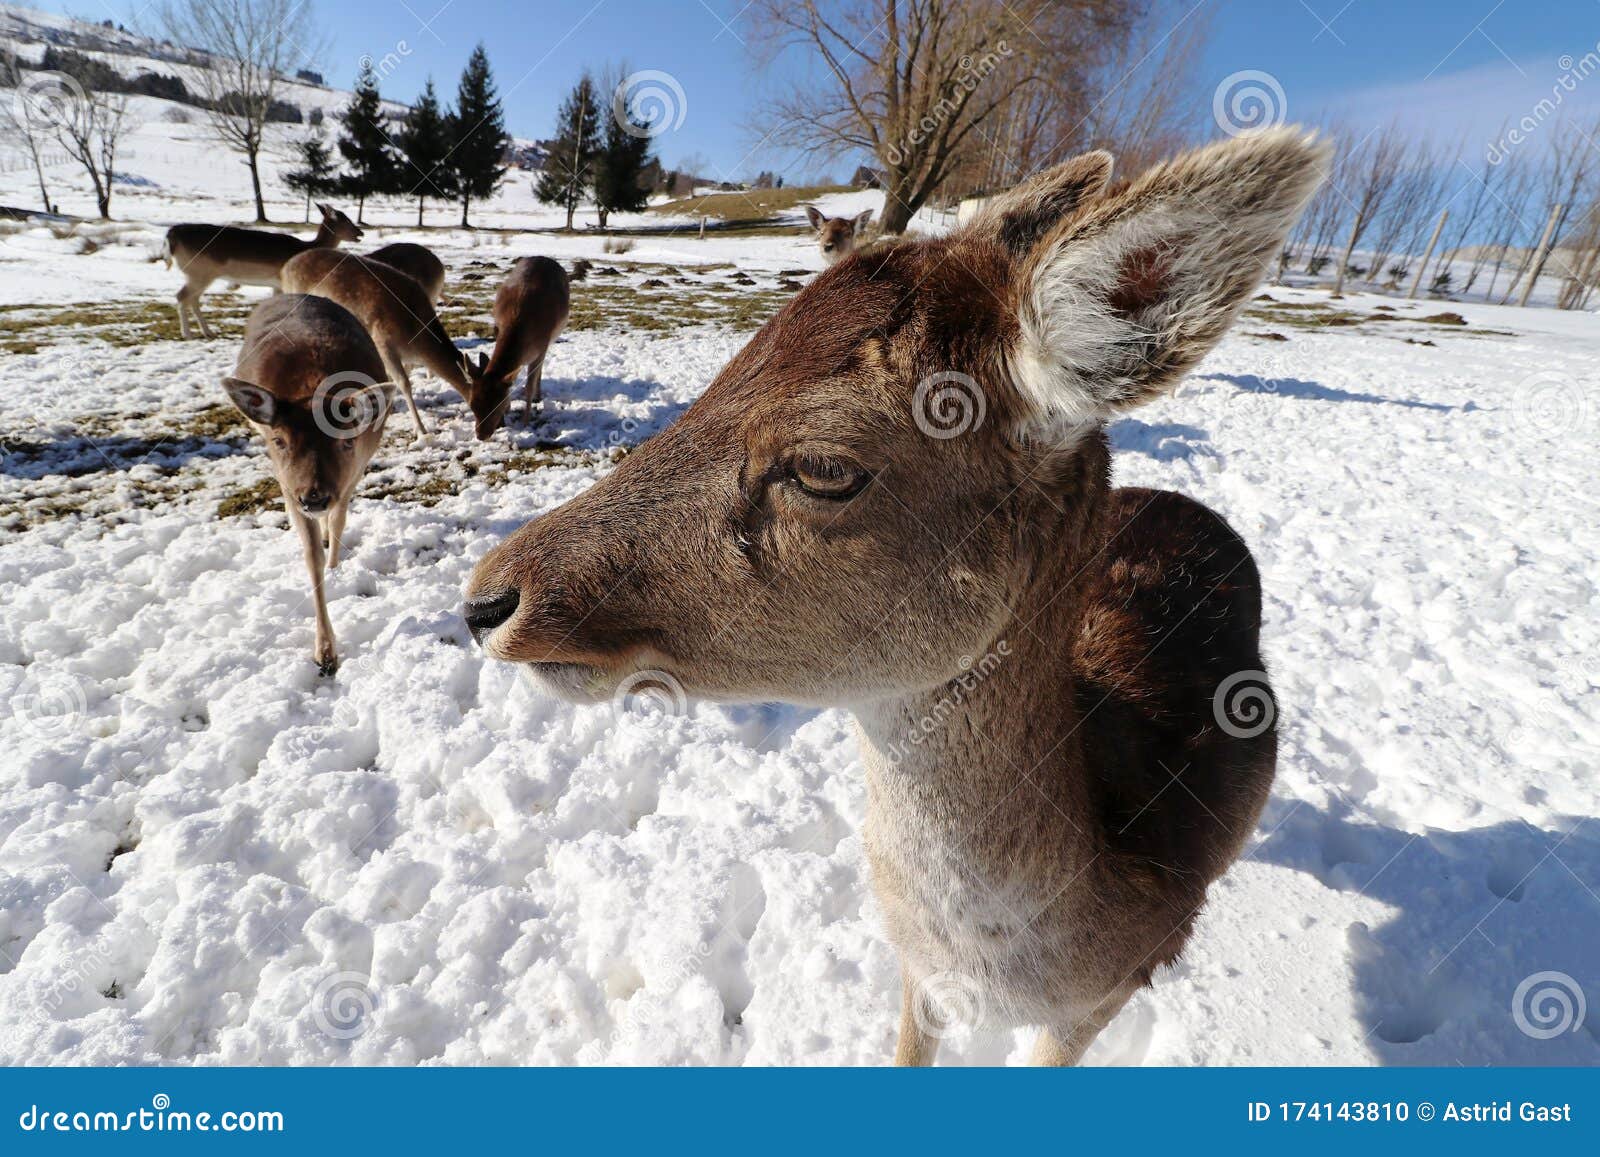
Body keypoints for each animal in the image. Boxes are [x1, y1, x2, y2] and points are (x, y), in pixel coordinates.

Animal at [162, 202, 363, 340]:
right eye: (345, 219)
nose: (360, 233)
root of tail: (171, 235)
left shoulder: (277, 284)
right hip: (199, 272)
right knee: (182, 296)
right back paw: (187, 334)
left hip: (199, 275)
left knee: (193, 299)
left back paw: (208, 332)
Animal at [221, 294, 395, 676]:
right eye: (279, 440)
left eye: (347, 441)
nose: (314, 497)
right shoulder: (287, 485)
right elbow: (310, 555)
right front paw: (326, 654)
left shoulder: (357, 466)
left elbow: (341, 517)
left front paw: (334, 563)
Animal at [280, 248, 490, 441]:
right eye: (480, 400)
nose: (485, 433)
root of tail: (285, 268)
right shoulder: (383, 342)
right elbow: (404, 383)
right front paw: (421, 430)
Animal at [466, 256, 571, 436]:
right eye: (472, 404)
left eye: (496, 406)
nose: (481, 435)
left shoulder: (542, 344)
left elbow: (529, 384)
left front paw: (525, 422)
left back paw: (537, 396)